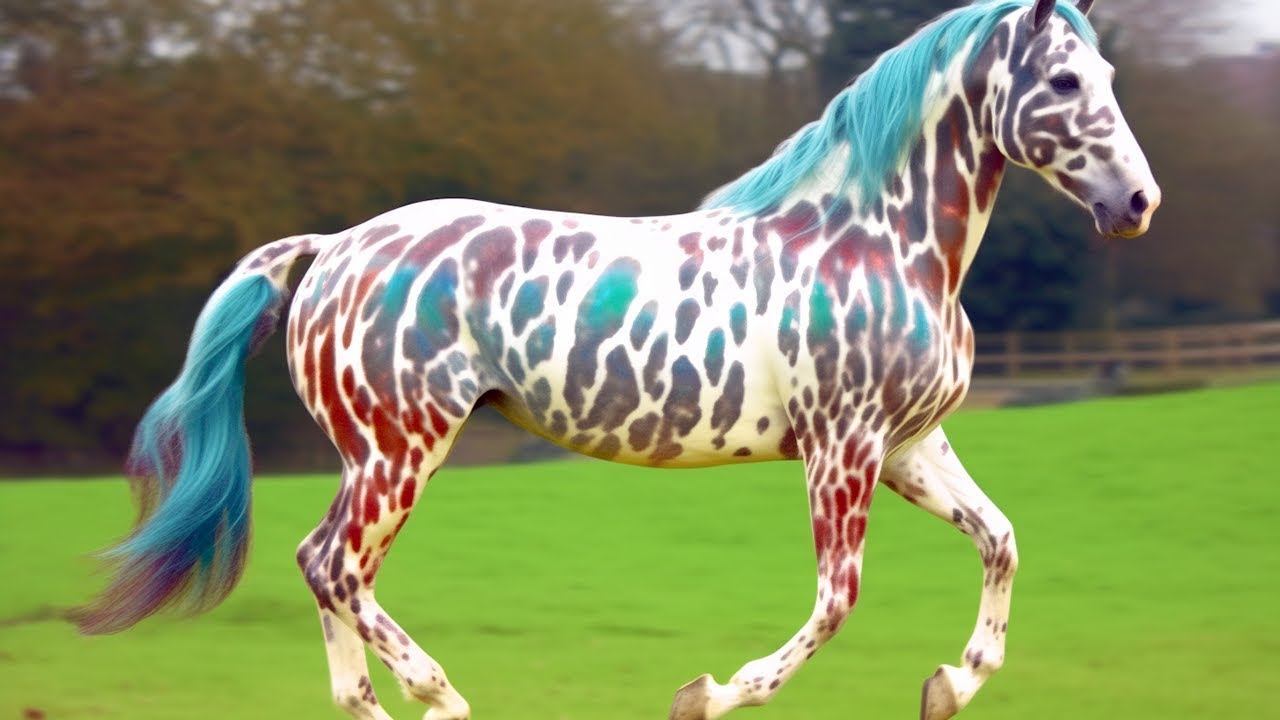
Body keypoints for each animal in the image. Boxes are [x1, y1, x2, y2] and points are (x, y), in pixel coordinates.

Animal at [75, 1, 1159, 718]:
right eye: (1064, 81)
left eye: (1108, 79)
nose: (1137, 203)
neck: (875, 242)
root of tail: (332, 248)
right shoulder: (841, 446)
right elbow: (836, 599)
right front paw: (709, 691)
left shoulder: (908, 447)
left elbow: (1000, 540)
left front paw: (950, 682)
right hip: (401, 450)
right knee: (336, 566)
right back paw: (441, 693)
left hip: (372, 456)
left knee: (323, 566)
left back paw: (379, 701)